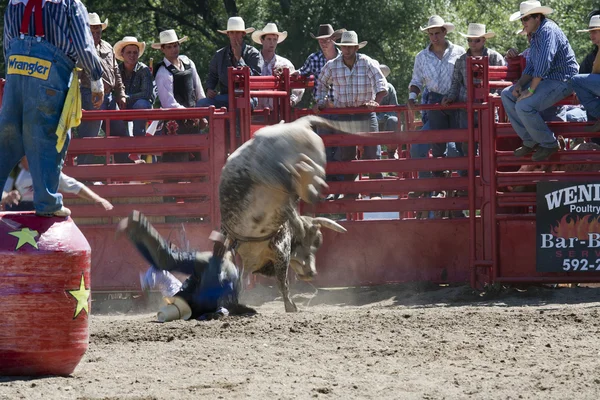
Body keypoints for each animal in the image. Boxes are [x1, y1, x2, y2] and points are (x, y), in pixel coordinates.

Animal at [221, 115, 350, 312]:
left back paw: (302, 173)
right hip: (276, 168)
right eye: (315, 241)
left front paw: (290, 306)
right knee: (299, 181)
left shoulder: (279, 252)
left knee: (301, 182)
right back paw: (302, 172)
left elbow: (281, 282)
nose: (312, 272)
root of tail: (300, 123)